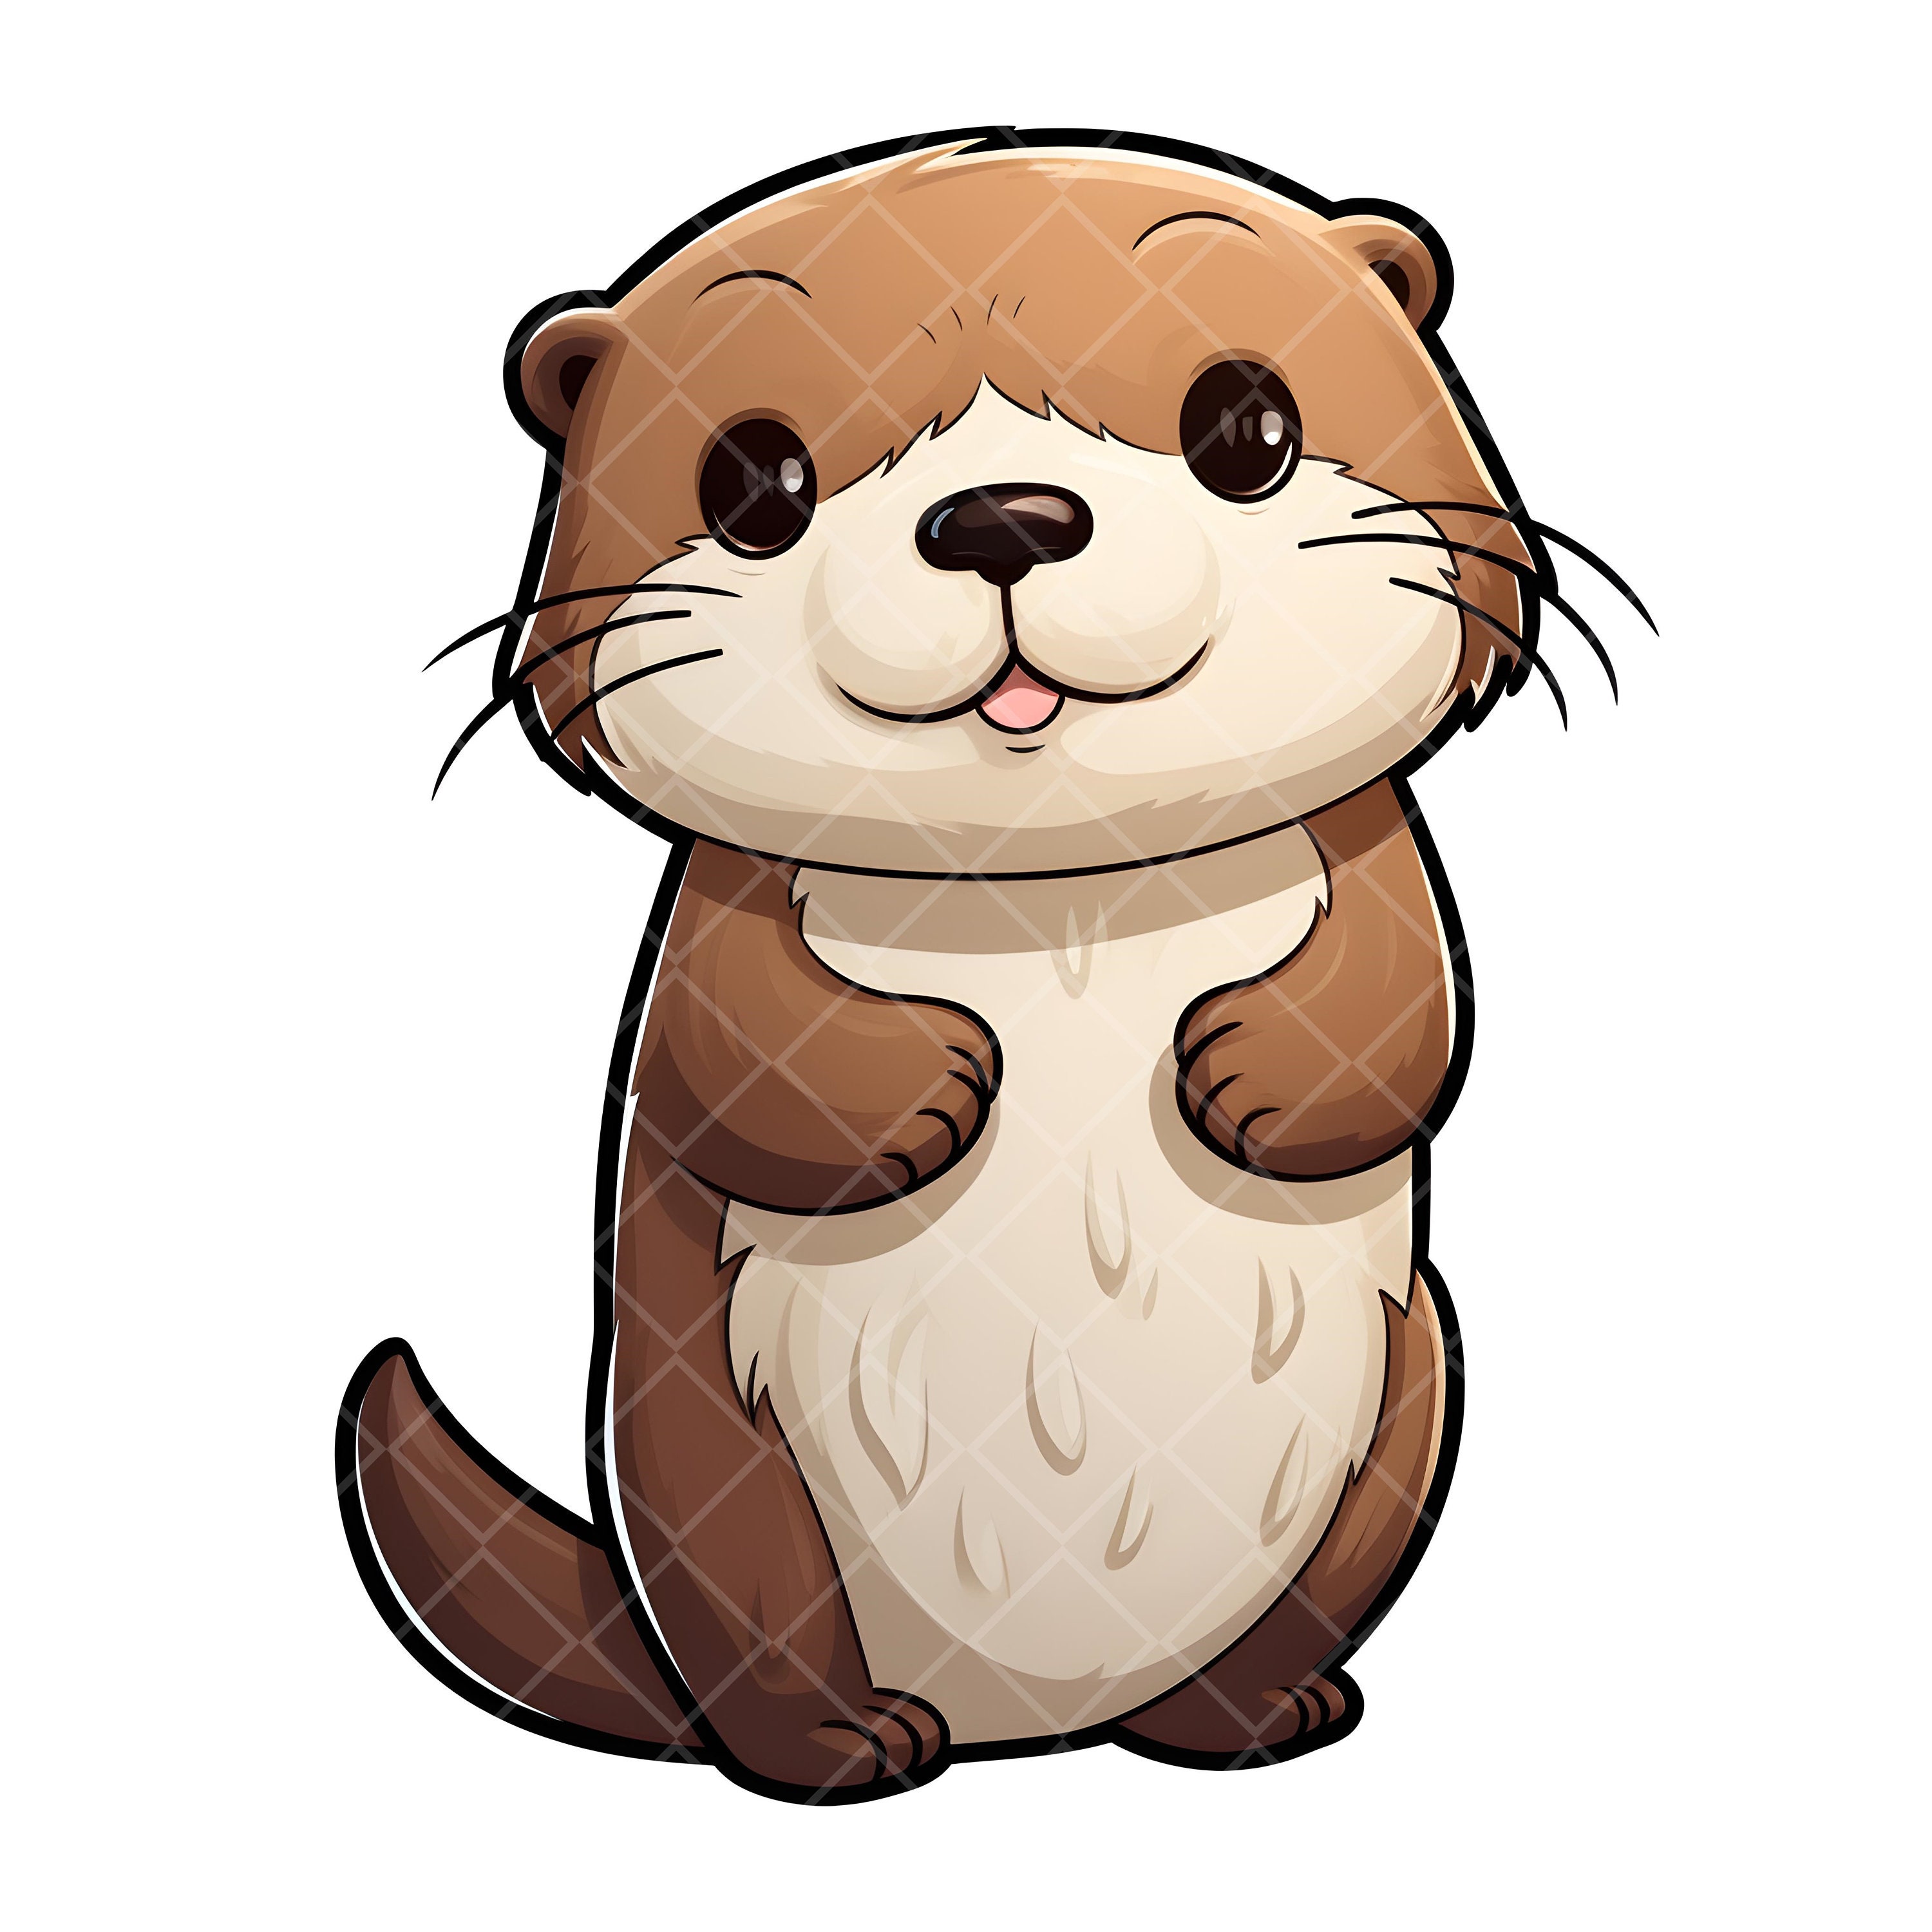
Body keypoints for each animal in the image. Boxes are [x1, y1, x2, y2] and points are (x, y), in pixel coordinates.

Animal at [338, 129, 1642, 1804]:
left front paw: (1237, 1074)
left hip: (1408, 1395)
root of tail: (1036, 1718)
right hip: (715, 1473)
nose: (1002, 519)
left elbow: (1407, 1009)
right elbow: (727, 1050)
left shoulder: (1367, 848)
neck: (1051, 891)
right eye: (752, 479)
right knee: (767, 1643)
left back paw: (1245, 1713)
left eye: (1248, 424)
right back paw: (847, 1745)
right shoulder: (717, 912)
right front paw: (939, 1086)